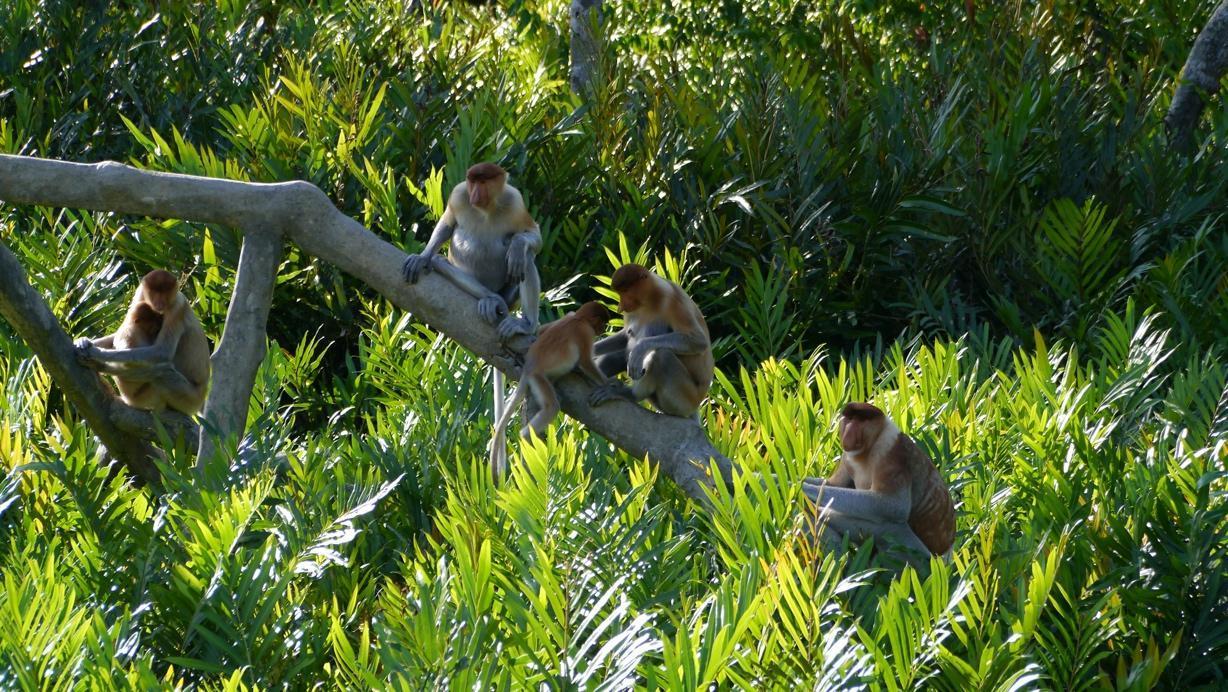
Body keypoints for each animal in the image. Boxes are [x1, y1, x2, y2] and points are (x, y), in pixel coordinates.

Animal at [75, 269, 211, 416]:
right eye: (155, 292)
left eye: (165, 292)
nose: (159, 302)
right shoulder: (140, 294)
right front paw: (84, 341)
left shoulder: (177, 308)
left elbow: (163, 351)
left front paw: (96, 354)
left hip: (188, 399)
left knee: (163, 374)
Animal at [487, 301, 610, 478]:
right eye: (603, 323)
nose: (603, 329)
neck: (579, 318)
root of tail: (529, 367)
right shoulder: (584, 332)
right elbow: (586, 361)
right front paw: (609, 385)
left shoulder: (569, 315)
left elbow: (542, 330)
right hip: (538, 378)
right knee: (552, 407)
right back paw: (525, 435)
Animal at [587, 263, 713, 419]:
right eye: (620, 293)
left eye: (626, 291)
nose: (620, 307)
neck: (650, 298)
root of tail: (696, 406)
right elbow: (625, 335)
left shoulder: (672, 299)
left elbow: (698, 341)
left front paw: (639, 349)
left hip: (685, 399)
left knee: (661, 356)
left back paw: (628, 394)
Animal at [802, 402, 955, 569]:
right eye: (849, 419)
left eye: (860, 420)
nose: (848, 431)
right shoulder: (847, 458)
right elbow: (833, 483)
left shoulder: (891, 455)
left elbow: (892, 505)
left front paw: (804, 490)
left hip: (919, 557)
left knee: (890, 526)